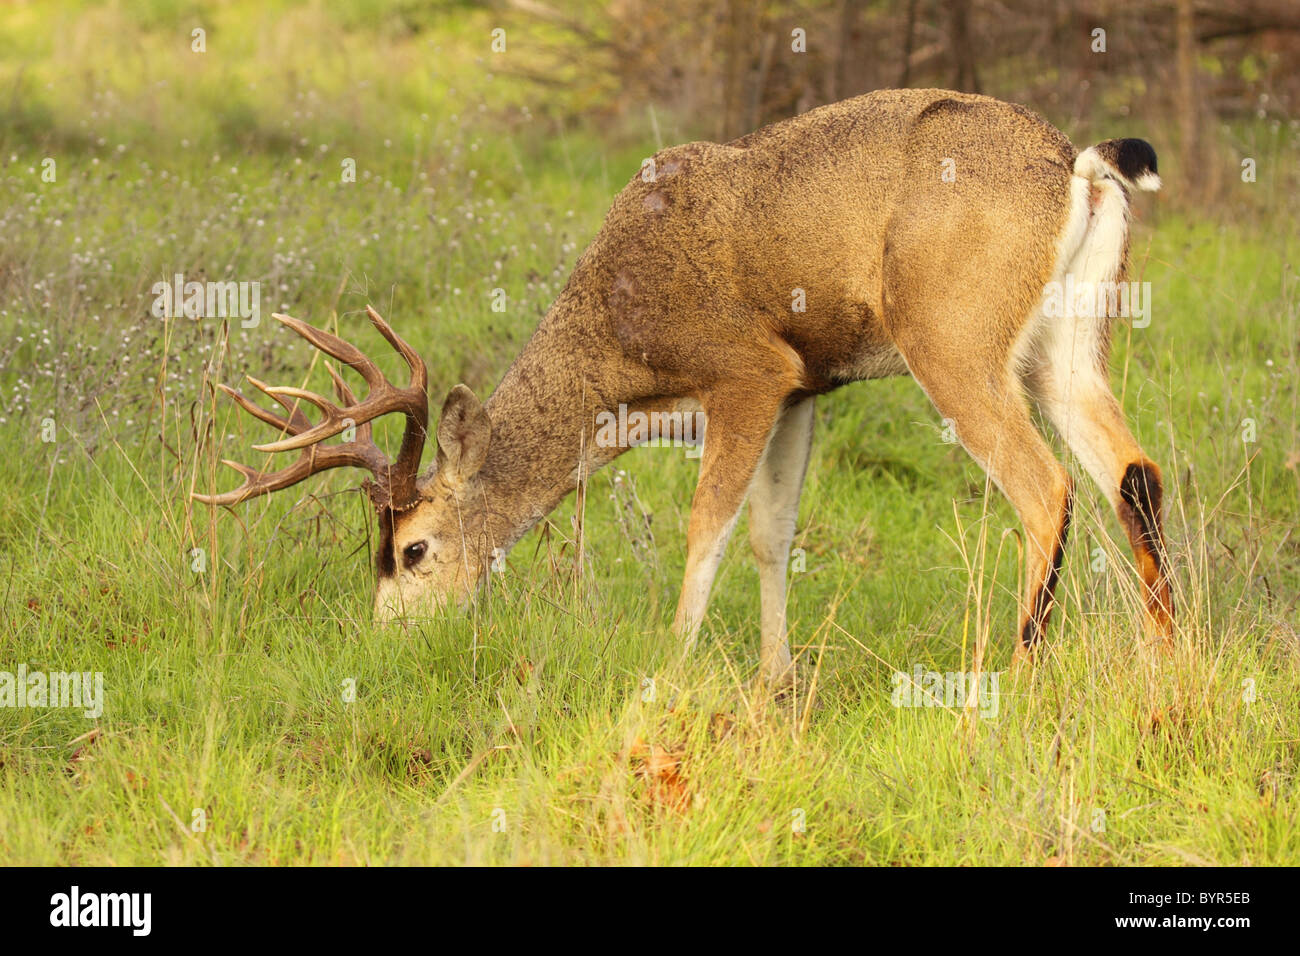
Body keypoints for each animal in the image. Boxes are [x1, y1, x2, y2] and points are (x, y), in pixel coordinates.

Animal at [195, 88, 1175, 685]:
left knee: (1048, 489)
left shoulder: (750, 371)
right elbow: (773, 536)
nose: (387, 642)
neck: (620, 369)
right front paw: (779, 682)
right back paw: (1167, 660)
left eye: (413, 550)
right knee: (1136, 472)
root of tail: (1076, 166)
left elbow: (708, 526)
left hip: (951, 338)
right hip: (1065, 347)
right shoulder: (805, 389)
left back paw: (1012, 675)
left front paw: (667, 669)